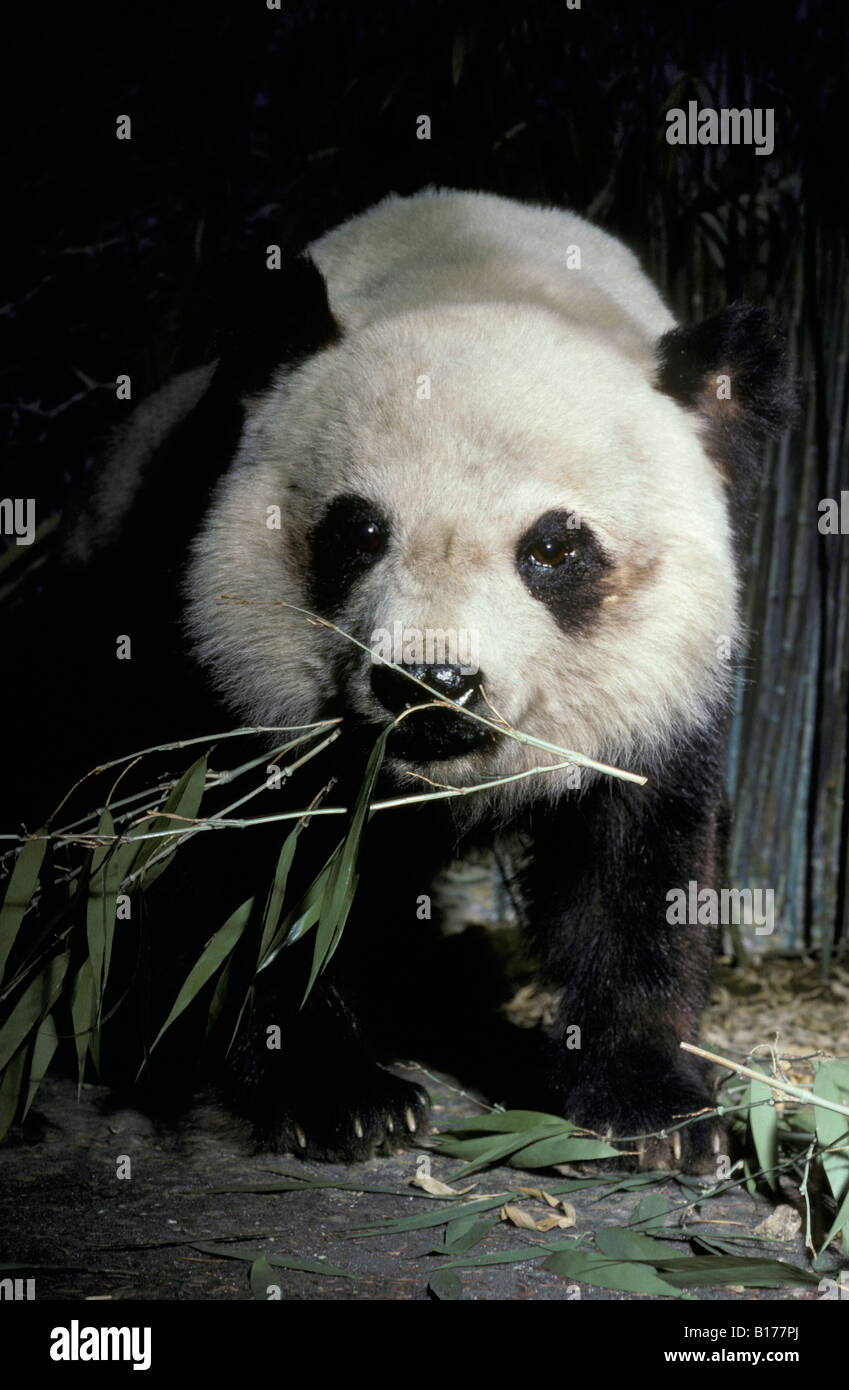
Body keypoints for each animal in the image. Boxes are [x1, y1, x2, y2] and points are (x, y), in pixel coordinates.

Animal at [11, 189, 792, 1172]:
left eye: (553, 548)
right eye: (358, 532)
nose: (431, 682)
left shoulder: (665, 682)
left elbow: (640, 860)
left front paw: (654, 1111)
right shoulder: (208, 649)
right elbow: (243, 861)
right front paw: (336, 1095)